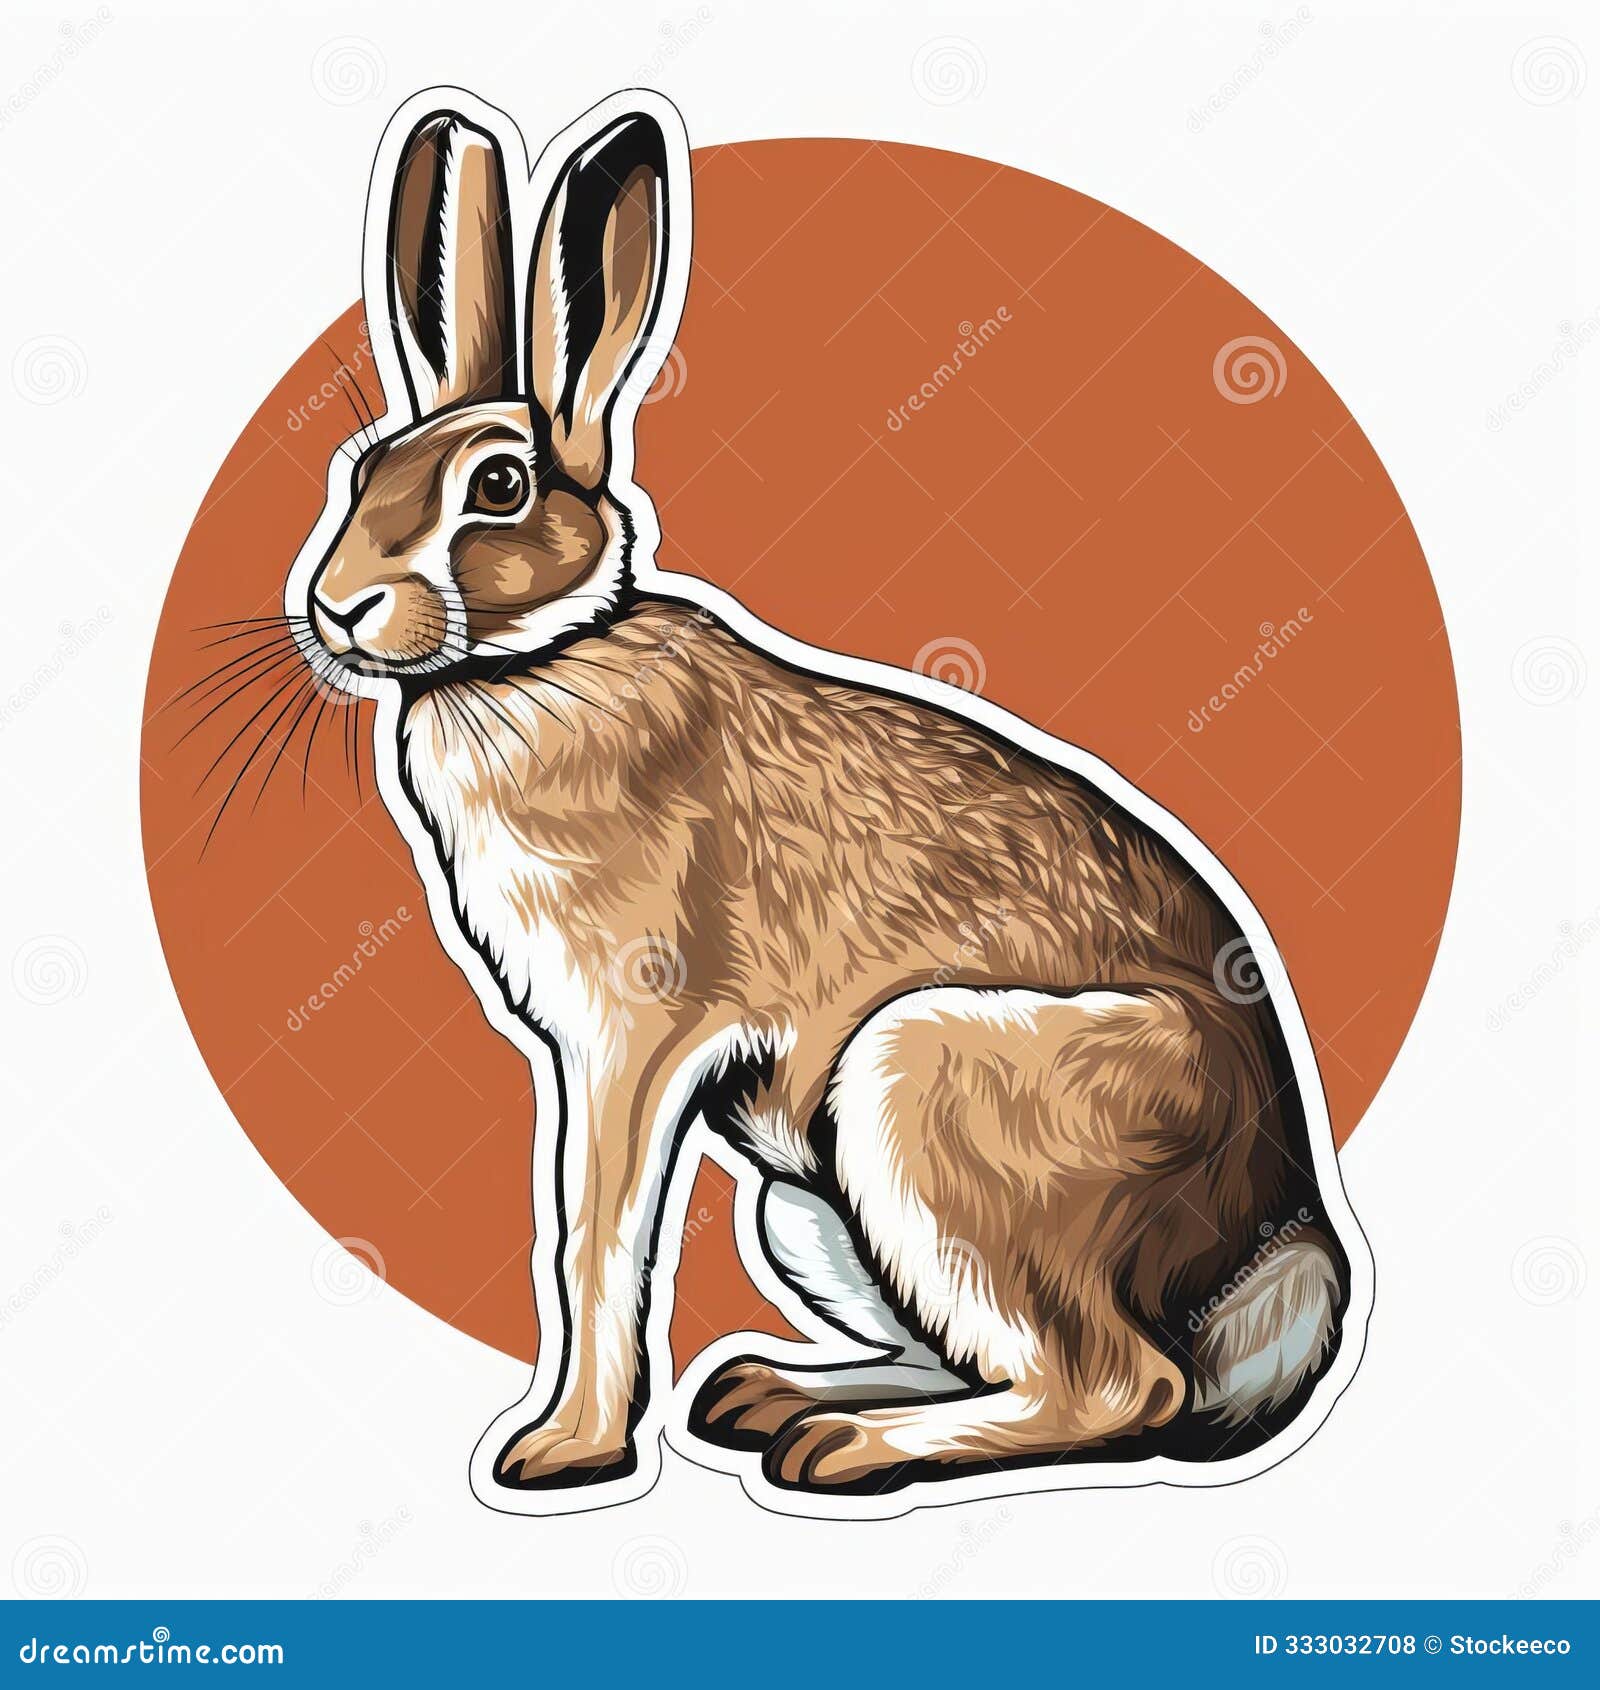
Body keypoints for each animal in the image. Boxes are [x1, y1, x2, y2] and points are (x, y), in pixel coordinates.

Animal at [283, 86, 1366, 1511]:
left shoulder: (630, 1038)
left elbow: (593, 1240)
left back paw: (840, 1447)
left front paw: (561, 1451)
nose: (335, 607)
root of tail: (1268, 1239)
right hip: (811, 1205)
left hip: (922, 1090)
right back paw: (768, 1394)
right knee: (998, 1359)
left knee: (1119, 1384)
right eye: (363, 471)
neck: (540, 660)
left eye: (498, 488)